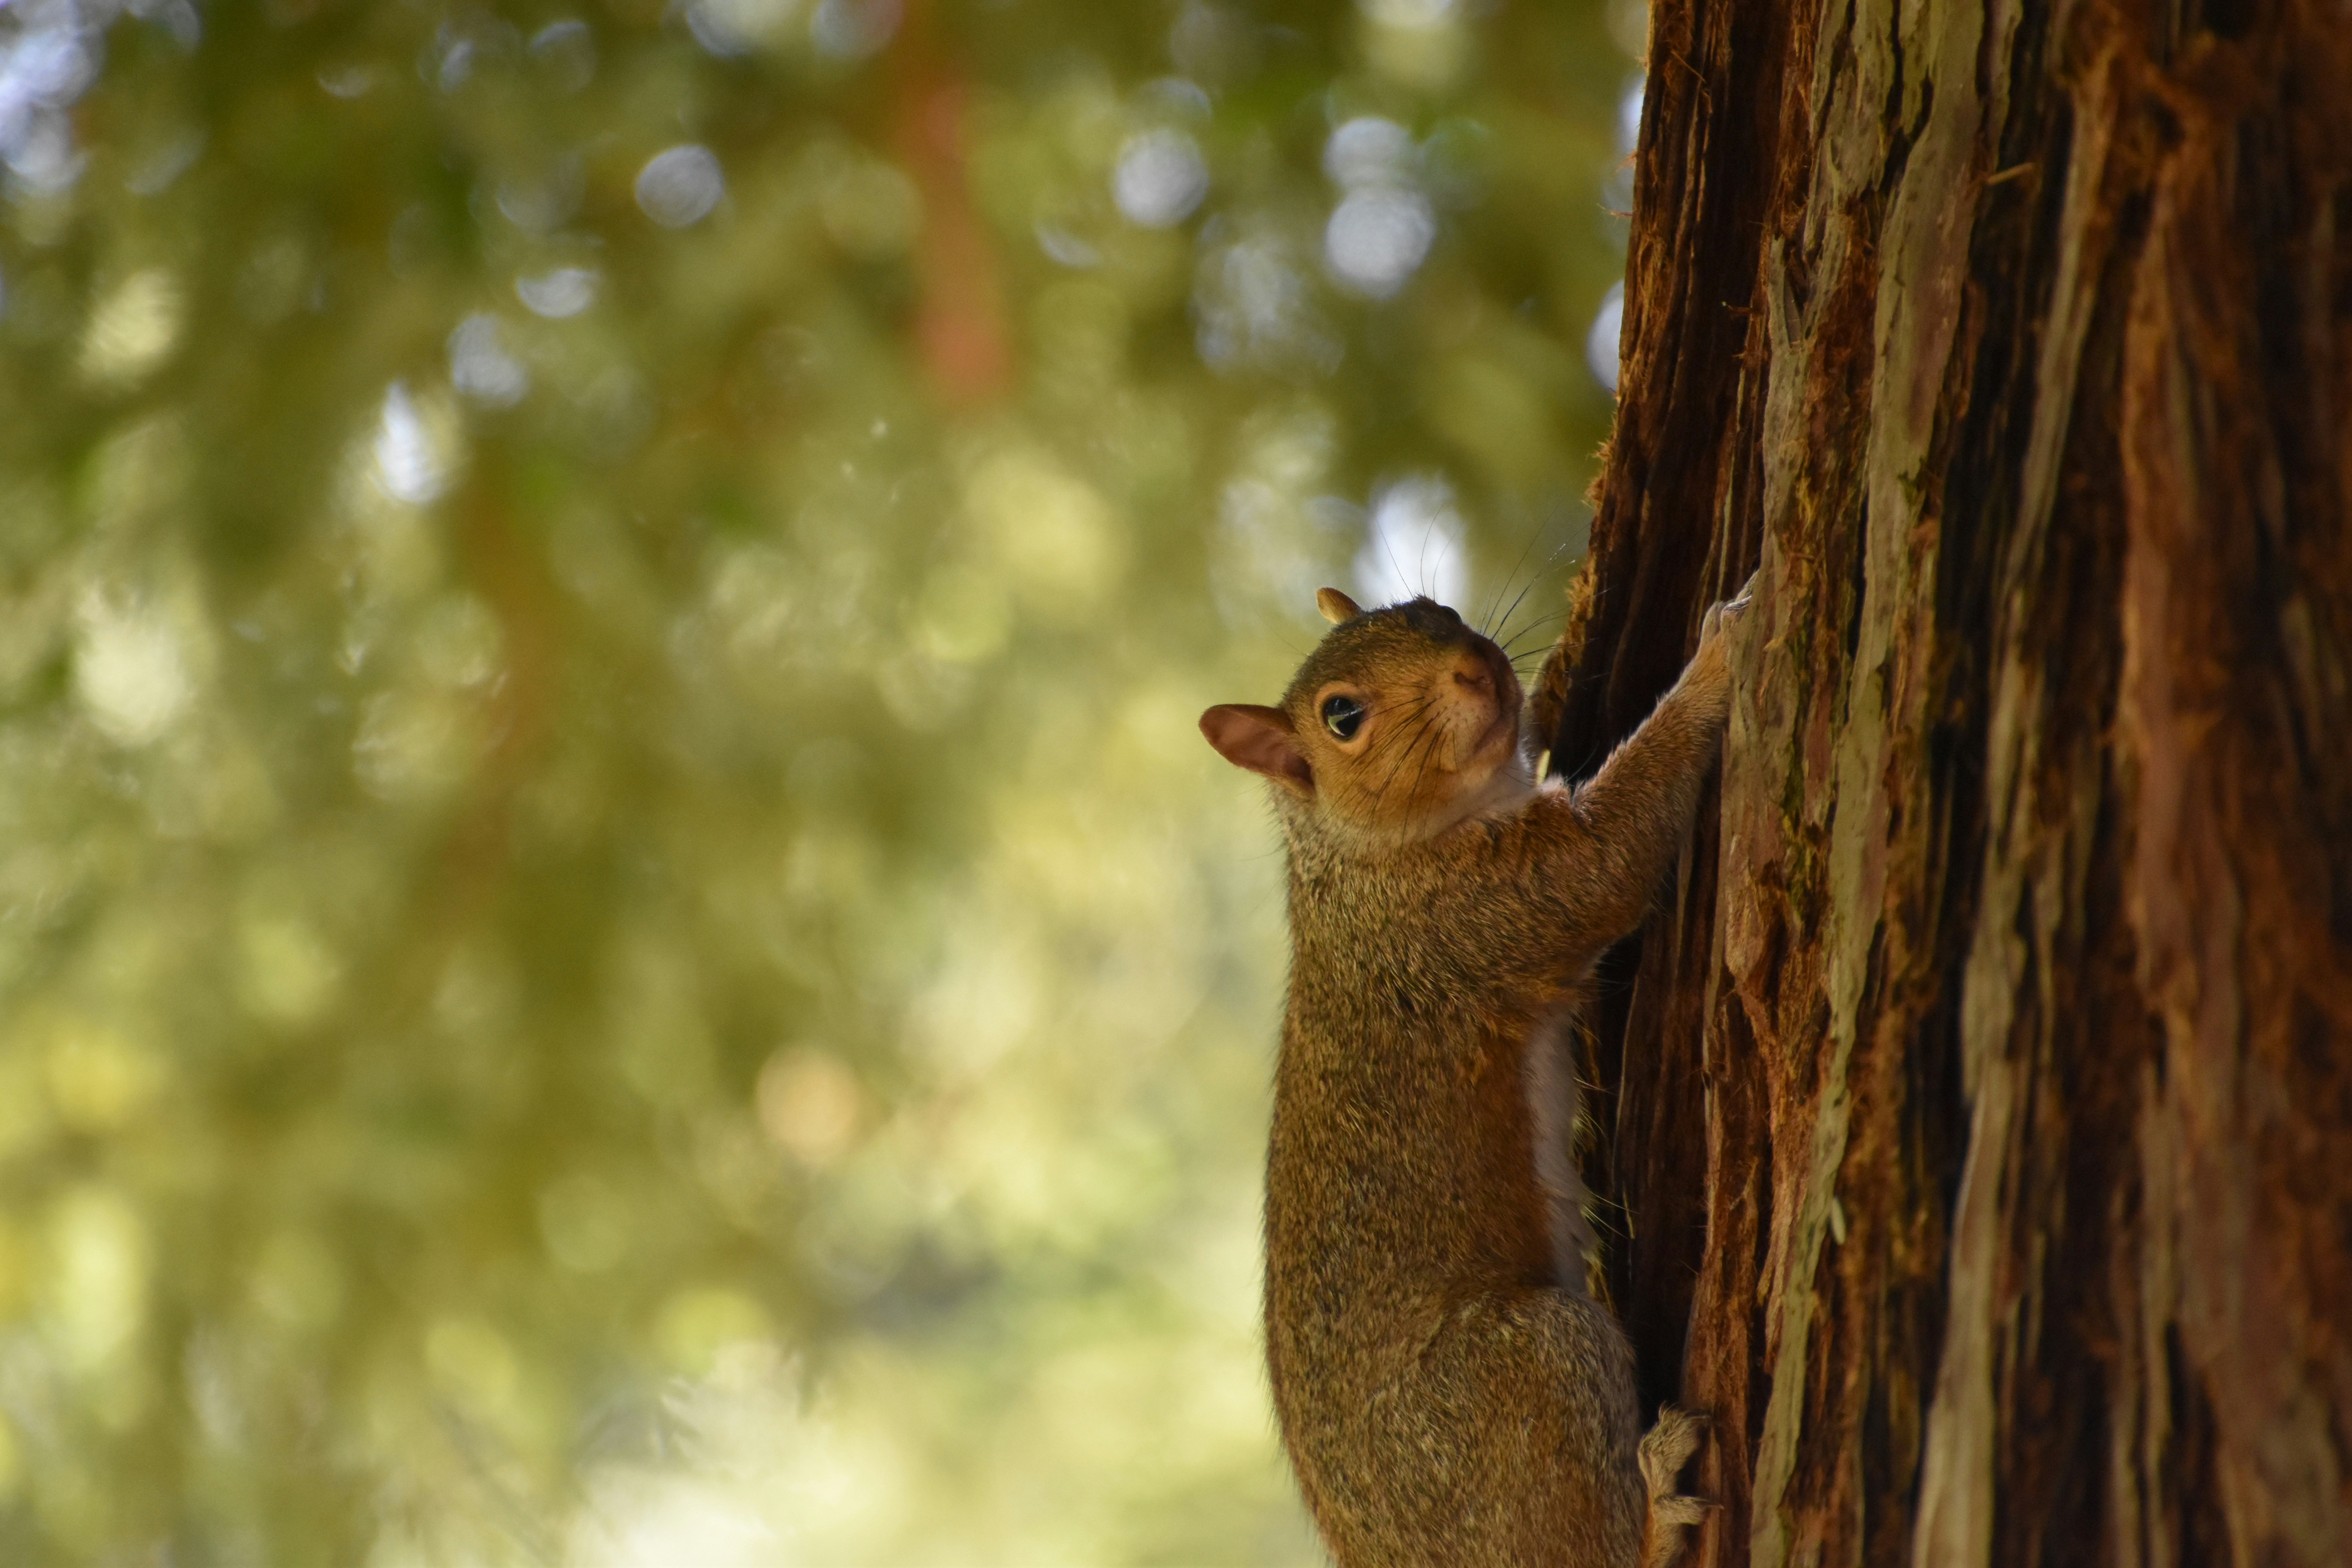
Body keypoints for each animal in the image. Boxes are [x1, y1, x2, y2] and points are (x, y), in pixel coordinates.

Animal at [1199, 580, 1748, 1568]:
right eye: (1343, 716)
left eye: (1431, 606)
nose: (1475, 666)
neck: (1359, 858)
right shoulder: (1472, 915)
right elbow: (1611, 855)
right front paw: (1718, 657)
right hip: (1530, 1364)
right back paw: (1658, 1504)